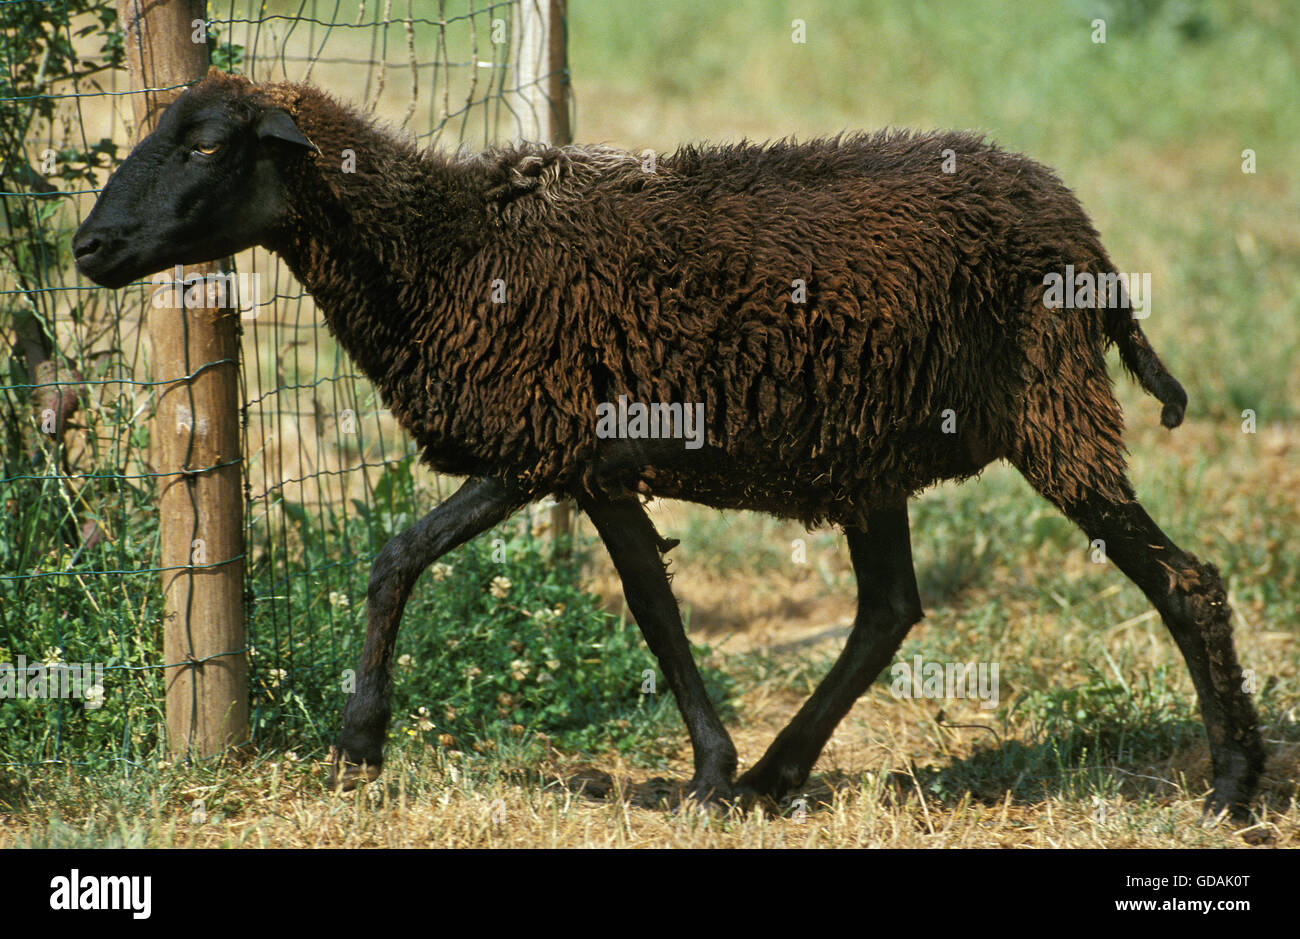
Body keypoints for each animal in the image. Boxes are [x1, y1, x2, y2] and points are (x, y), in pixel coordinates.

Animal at [74, 67, 1264, 819]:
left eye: (208, 144)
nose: (87, 247)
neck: (442, 253)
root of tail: (1085, 235)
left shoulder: (540, 437)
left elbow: (403, 556)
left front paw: (359, 741)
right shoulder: (590, 463)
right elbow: (650, 603)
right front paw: (712, 771)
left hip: (1048, 406)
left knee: (1184, 581)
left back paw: (1232, 785)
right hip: (869, 450)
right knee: (888, 610)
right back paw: (778, 774)